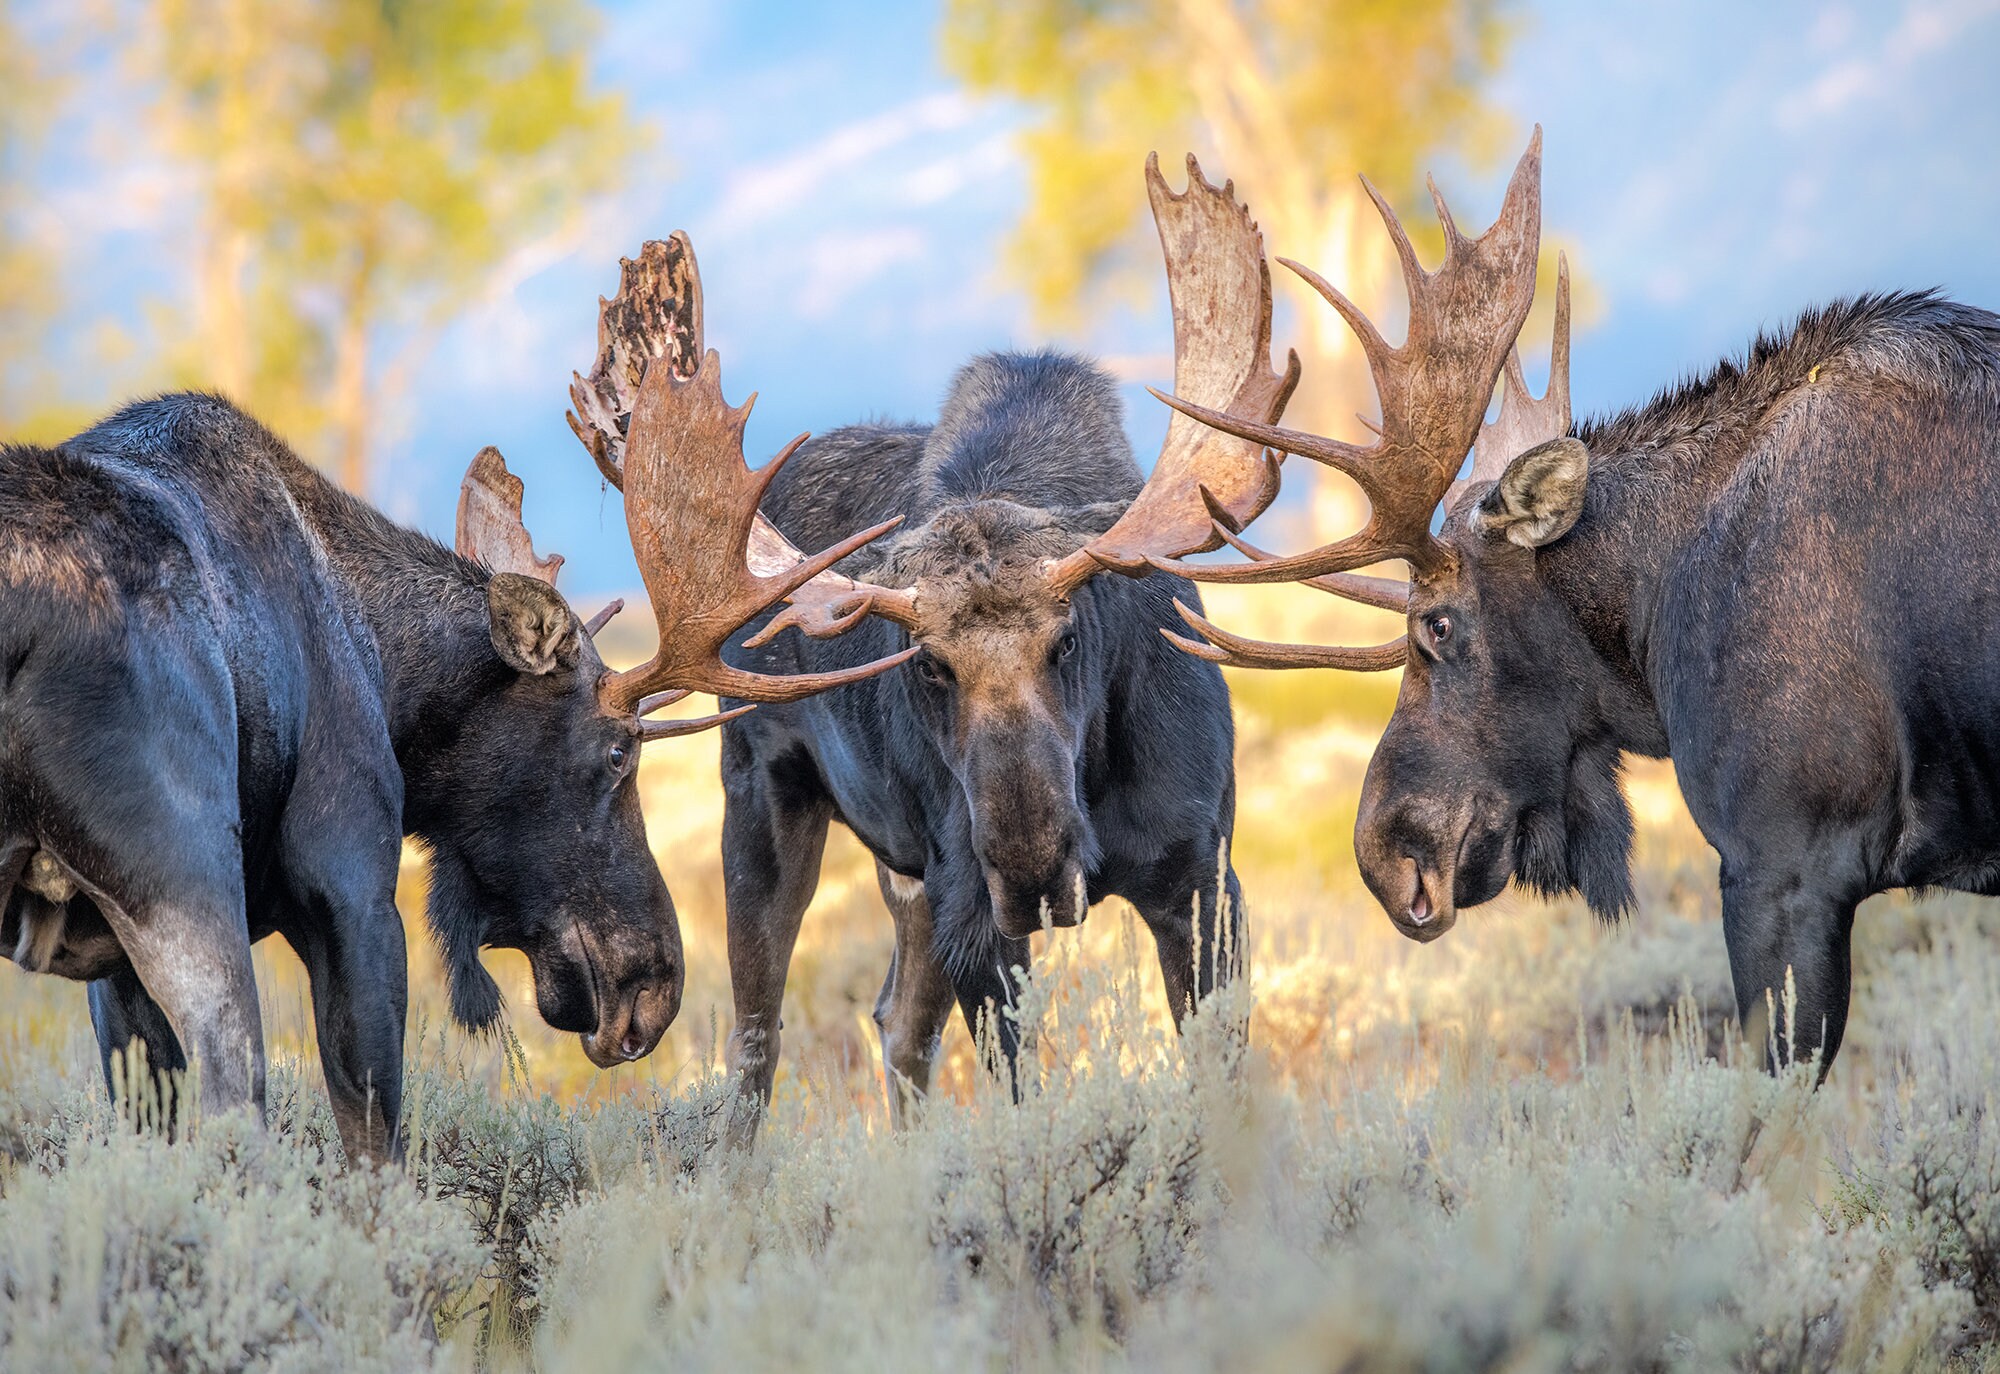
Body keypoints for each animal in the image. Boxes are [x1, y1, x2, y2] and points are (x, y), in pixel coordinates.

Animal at [0, 243, 904, 1159]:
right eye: (619, 751)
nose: (656, 989)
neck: (390, 674)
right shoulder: (351, 886)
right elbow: (375, 1145)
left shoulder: (111, 976)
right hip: (184, 871)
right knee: (235, 1095)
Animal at [562, 158, 1298, 1133]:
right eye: (929, 664)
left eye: (1068, 641)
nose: (1031, 861)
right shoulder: (971, 910)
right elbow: (1020, 1102)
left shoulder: (1202, 879)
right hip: (765, 800)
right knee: (757, 1044)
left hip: (904, 879)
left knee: (896, 1022)